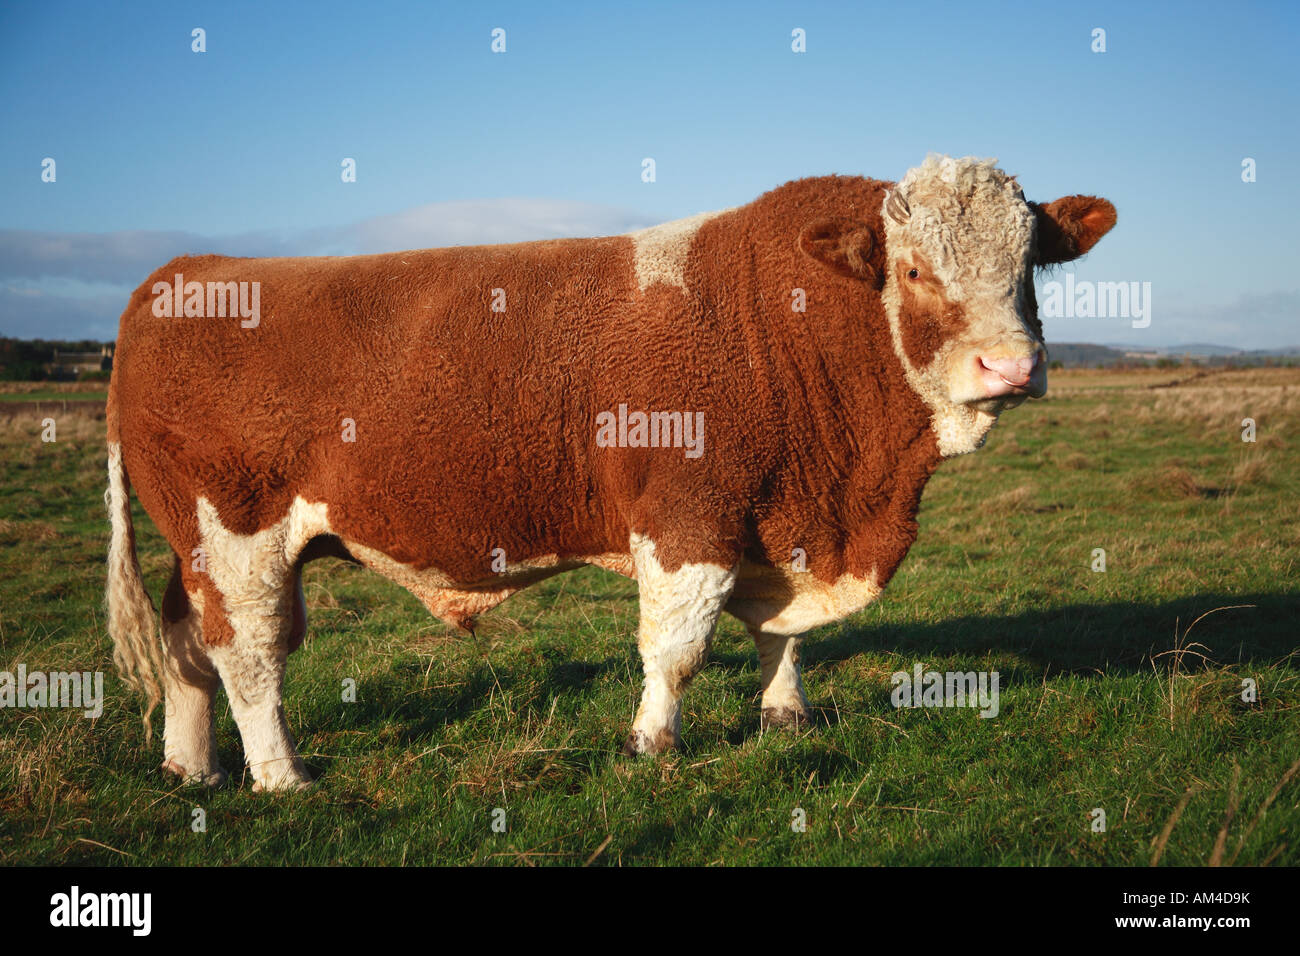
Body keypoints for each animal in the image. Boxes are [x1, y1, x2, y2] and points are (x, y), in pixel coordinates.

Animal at [105, 155, 1116, 791]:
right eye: (912, 272)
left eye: (1030, 267)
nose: (1011, 367)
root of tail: (180, 273)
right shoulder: (687, 516)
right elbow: (677, 647)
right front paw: (649, 742)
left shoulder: (783, 524)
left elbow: (781, 635)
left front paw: (783, 715)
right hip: (239, 534)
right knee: (247, 654)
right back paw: (282, 778)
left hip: (195, 542)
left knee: (186, 643)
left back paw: (191, 766)